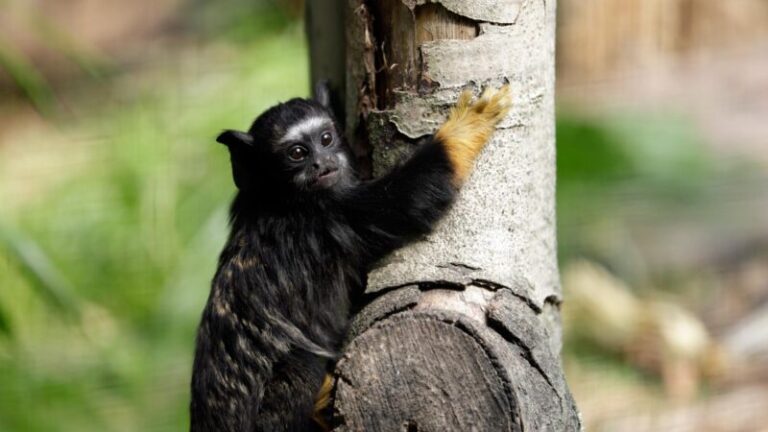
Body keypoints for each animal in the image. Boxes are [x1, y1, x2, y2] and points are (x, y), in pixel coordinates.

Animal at [189, 82, 511, 432]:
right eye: (298, 153)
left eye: (326, 139)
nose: (321, 162)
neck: (278, 199)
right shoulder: (328, 215)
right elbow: (409, 200)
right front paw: (466, 125)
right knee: (303, 361)